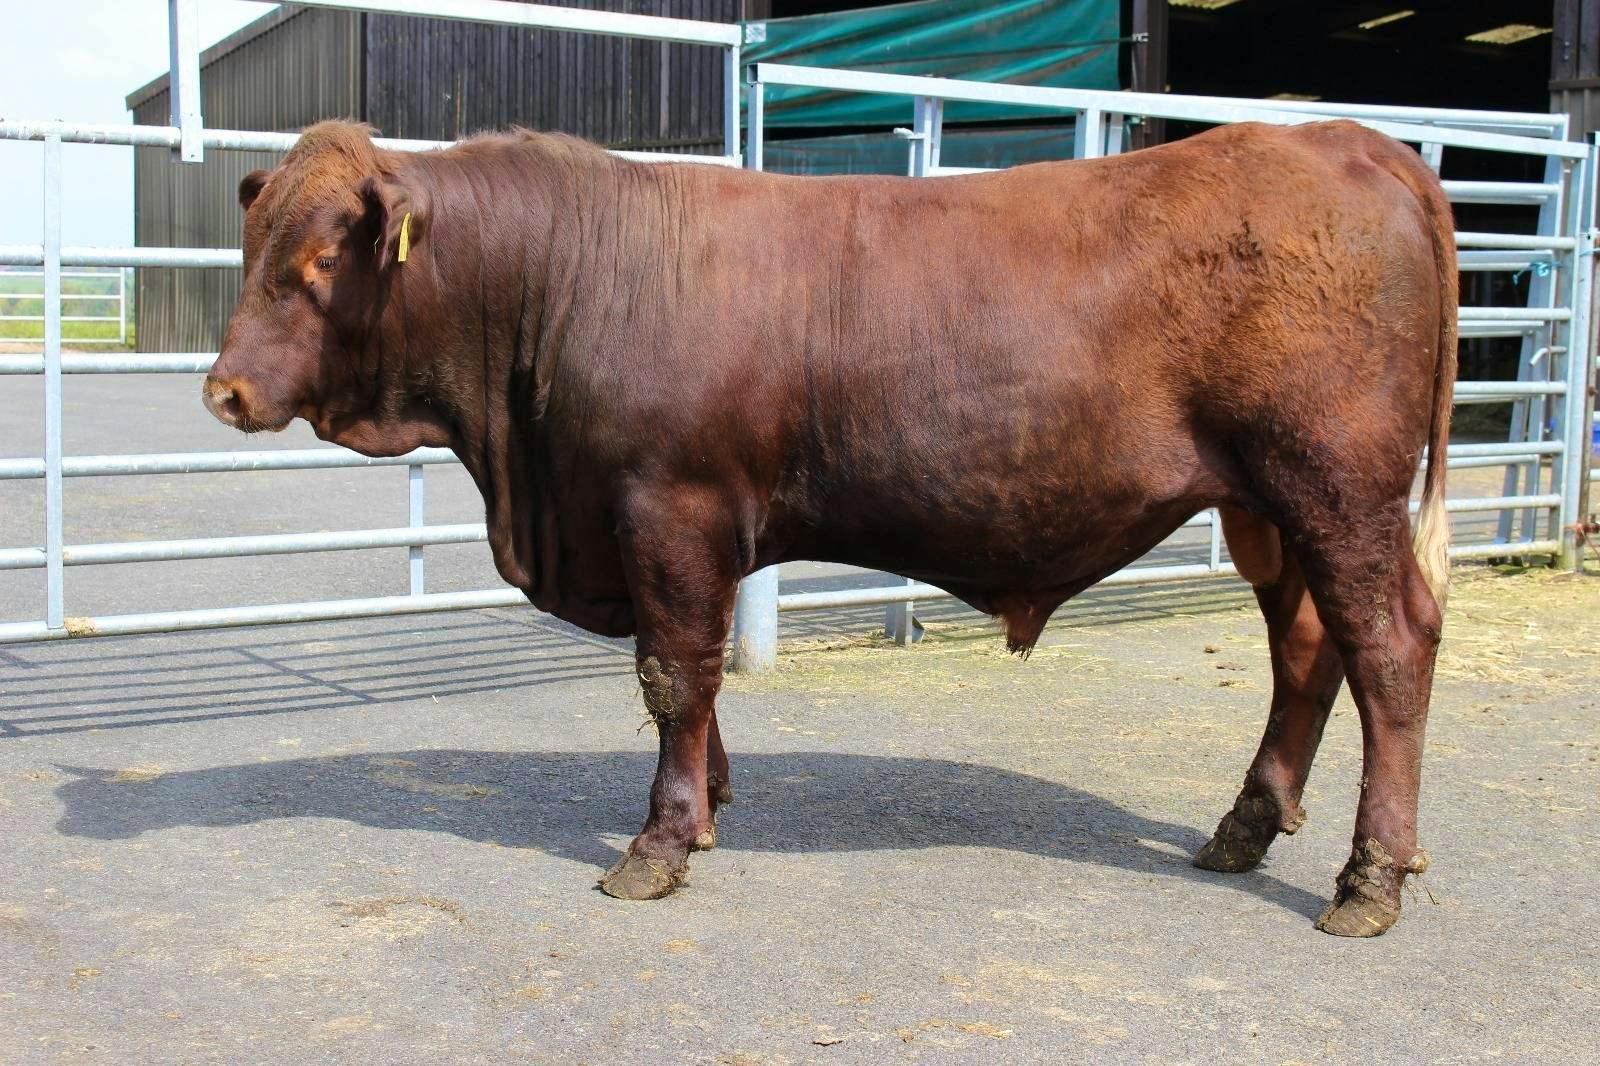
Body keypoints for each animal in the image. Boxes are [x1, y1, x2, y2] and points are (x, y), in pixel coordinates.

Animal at [202, 118, 1455, 937]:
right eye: (251, 251)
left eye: (320, 259)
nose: (222, 389)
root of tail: (1350, 141)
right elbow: (696, 679)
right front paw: (709, 808)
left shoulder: (669, 505)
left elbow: (673, 672)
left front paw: (659, 845)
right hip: (1264, 504)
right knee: (1306, 648)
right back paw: (1245, 827)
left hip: (1334, 481)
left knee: (1388, 647)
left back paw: (1368, 880)